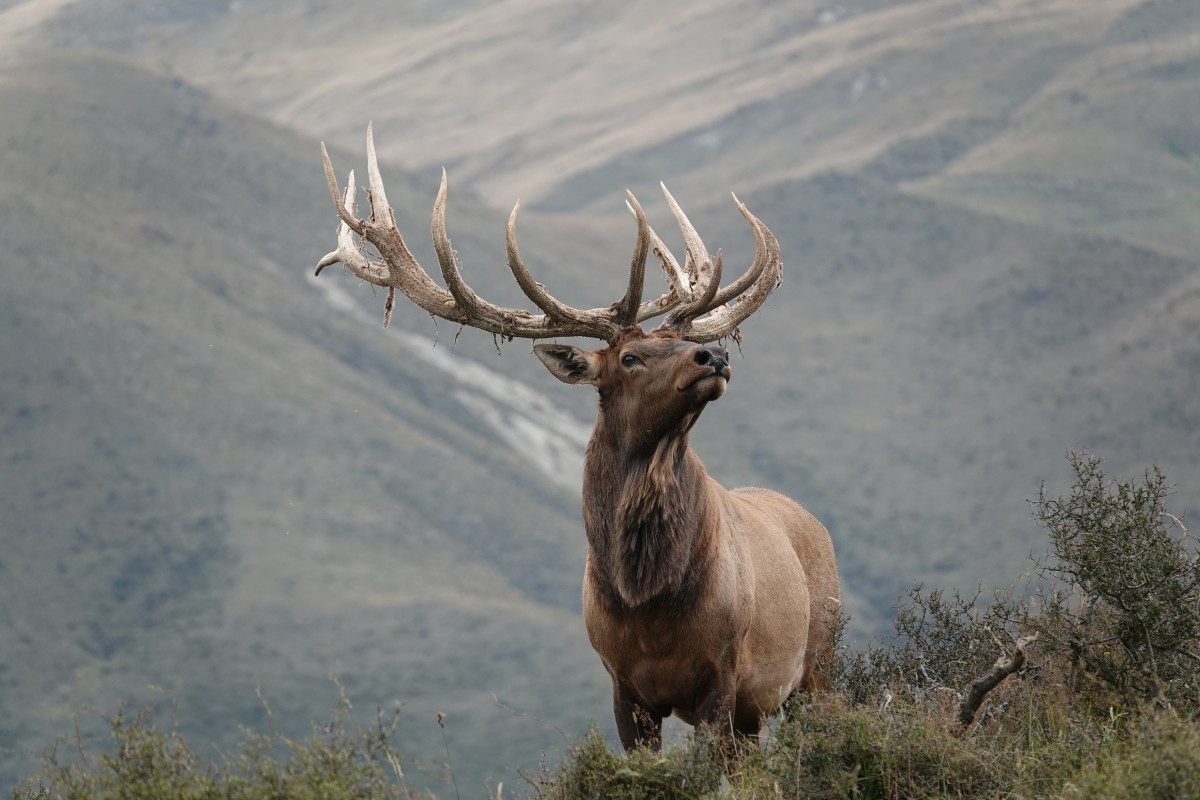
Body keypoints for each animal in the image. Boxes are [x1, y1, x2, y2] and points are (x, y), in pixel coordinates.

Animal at [315, 125, 840, 752]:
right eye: (631, 357)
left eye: (682, 340)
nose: (714, 354)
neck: (647, 601)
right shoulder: (623, 685)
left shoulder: (725, 673)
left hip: (820, 664)